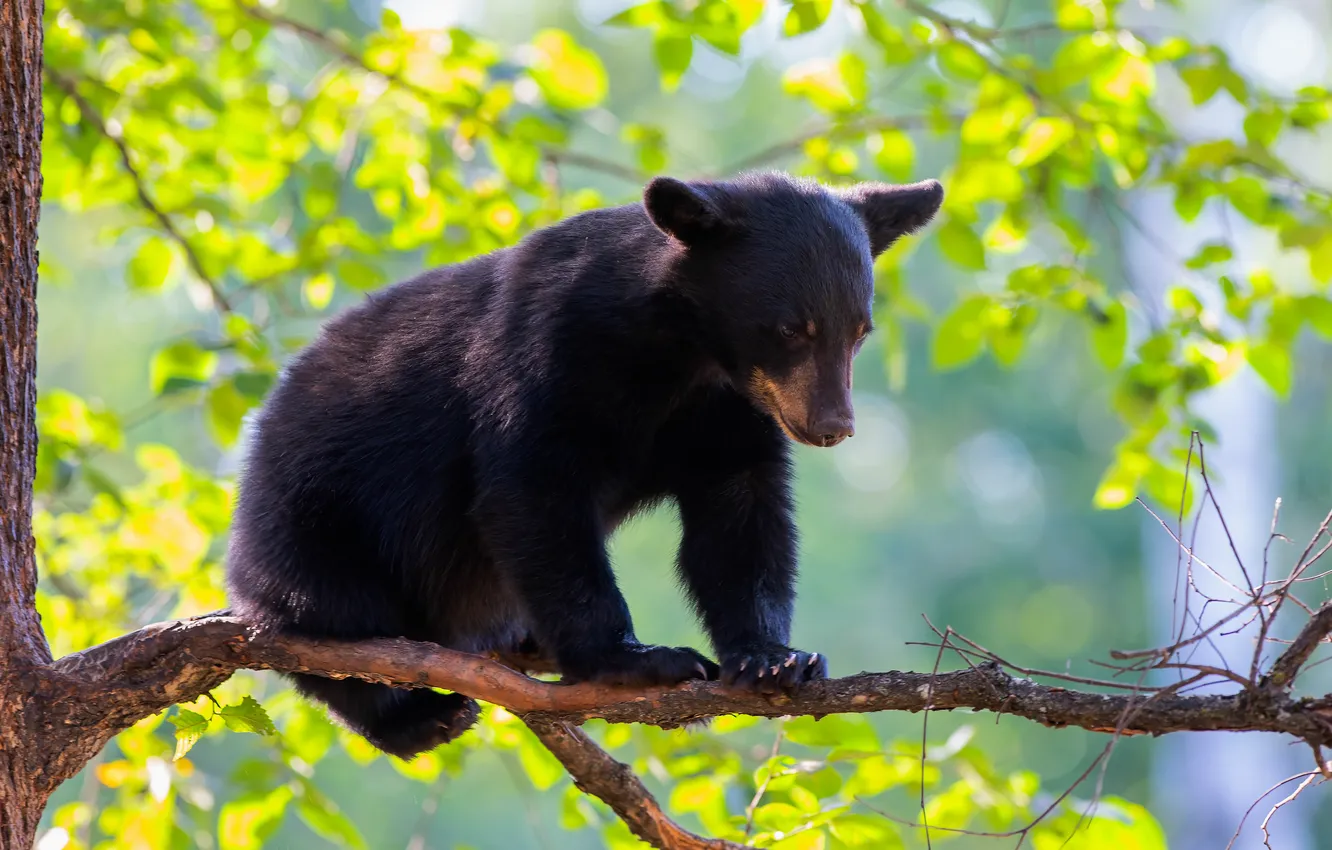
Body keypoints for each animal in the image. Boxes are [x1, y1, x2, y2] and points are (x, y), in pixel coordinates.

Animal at [226, 171, 943, 760]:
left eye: (859, 330)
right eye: (793, 327)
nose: (833, 427)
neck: (681, 354)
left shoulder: (728, 413)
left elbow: (741, 516)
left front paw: (775, 659)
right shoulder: (548, 355)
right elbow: (534, 493)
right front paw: (639, 658)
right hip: (314, 516)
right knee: (335, 632)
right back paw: (418, 717)